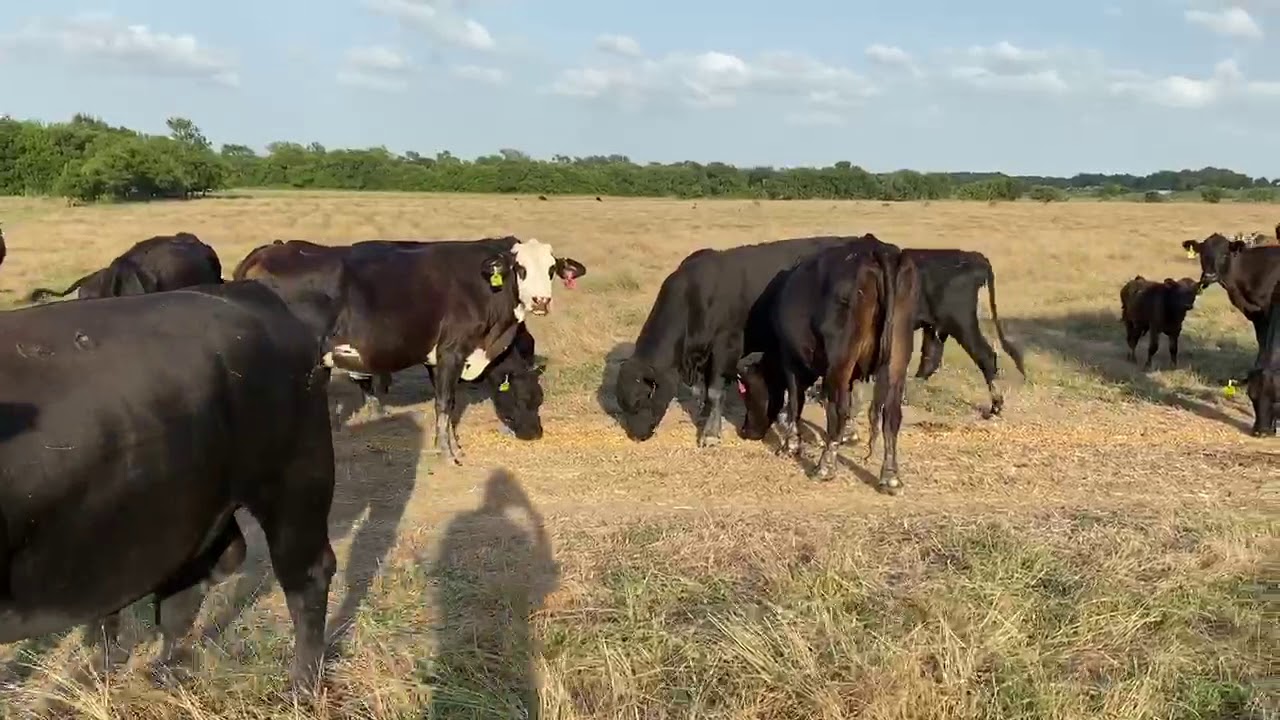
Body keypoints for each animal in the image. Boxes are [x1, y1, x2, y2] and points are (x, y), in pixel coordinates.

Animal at [0, 280, 337, 692]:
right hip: (189, 501)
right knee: (190, 578)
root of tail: (254, 292)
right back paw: (155, 671)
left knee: (306, 574)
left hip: (295, 480)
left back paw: (301, 685)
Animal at [614, 235, 858, 446]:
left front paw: (711, 434)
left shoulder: (727, 346)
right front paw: (704, 416)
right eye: (623, 406)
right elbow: (705, 390)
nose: (637, 435)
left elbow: (714, 391)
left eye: (642, 399)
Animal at [734, 234, 920, 493]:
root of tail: (874, 248)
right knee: (891, 415)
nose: (745, 431)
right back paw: (890, 477)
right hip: (897, 356)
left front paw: (790, 445)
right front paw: (849, 436)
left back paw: (824, 467)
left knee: (837, 410)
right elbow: (852, 400)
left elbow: (796, 401)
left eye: (746, 390)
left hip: (839, 361)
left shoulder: (790, 360)